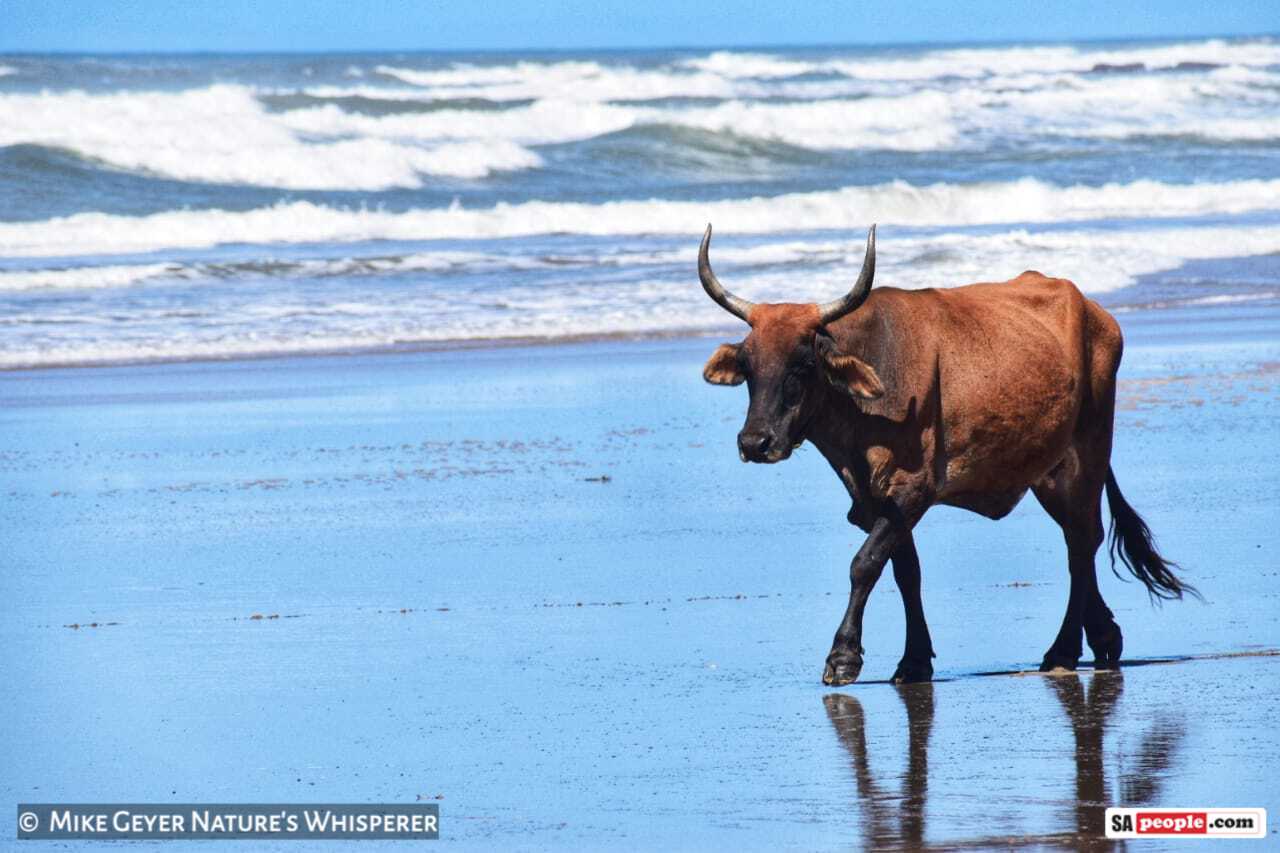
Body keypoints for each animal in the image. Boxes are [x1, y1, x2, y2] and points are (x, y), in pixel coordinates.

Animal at [697, 223, 1197, 685]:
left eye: (802, 364)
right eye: (747, 366)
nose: (755, 442)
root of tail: (1096, 312)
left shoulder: (913, 489)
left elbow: (865, 564)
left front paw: (843, 657)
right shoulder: (876, 499)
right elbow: (905, 571)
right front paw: (914, 660)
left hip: (1083, 459)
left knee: (1081, 545)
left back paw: (1063, 650)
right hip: (1049, 473)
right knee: (1081, 543)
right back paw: (1104, 636)